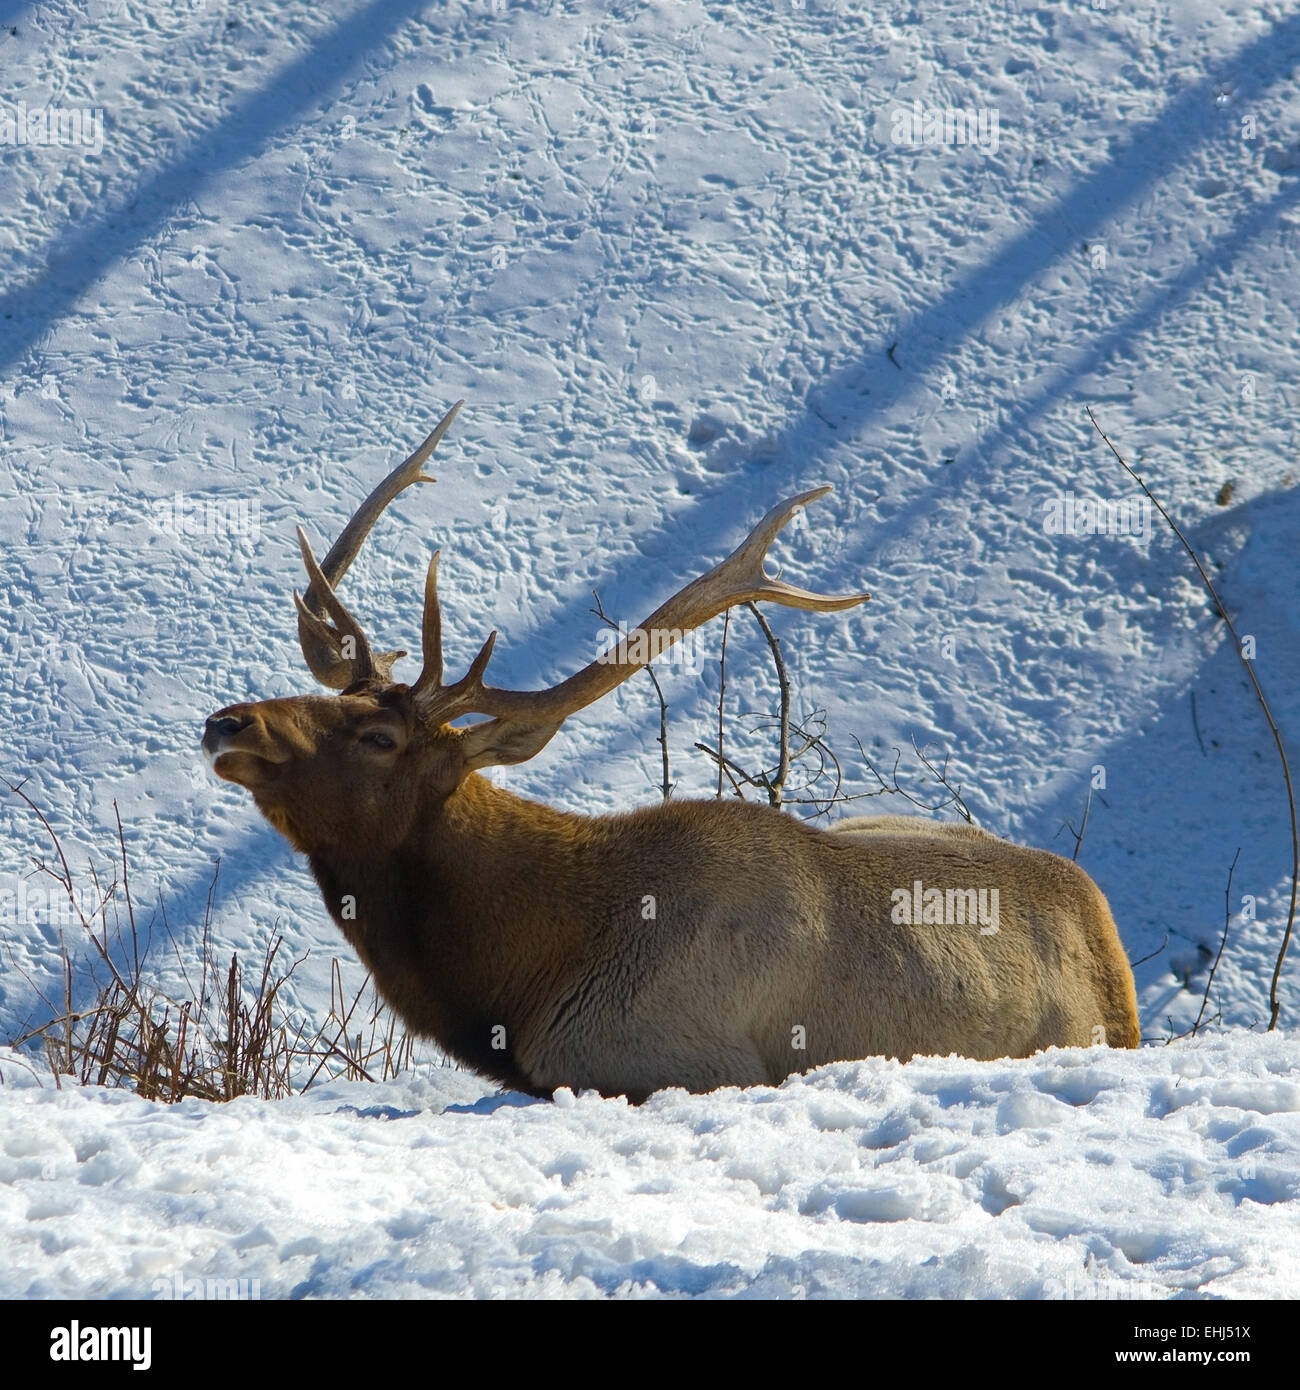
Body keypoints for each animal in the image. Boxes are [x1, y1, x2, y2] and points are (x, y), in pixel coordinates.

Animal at [204, 402, 1141, 1102]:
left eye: (380, 737)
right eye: (337, 700)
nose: (228, 723)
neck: (526, 978)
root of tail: (1109, 942)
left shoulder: (686, 1062)